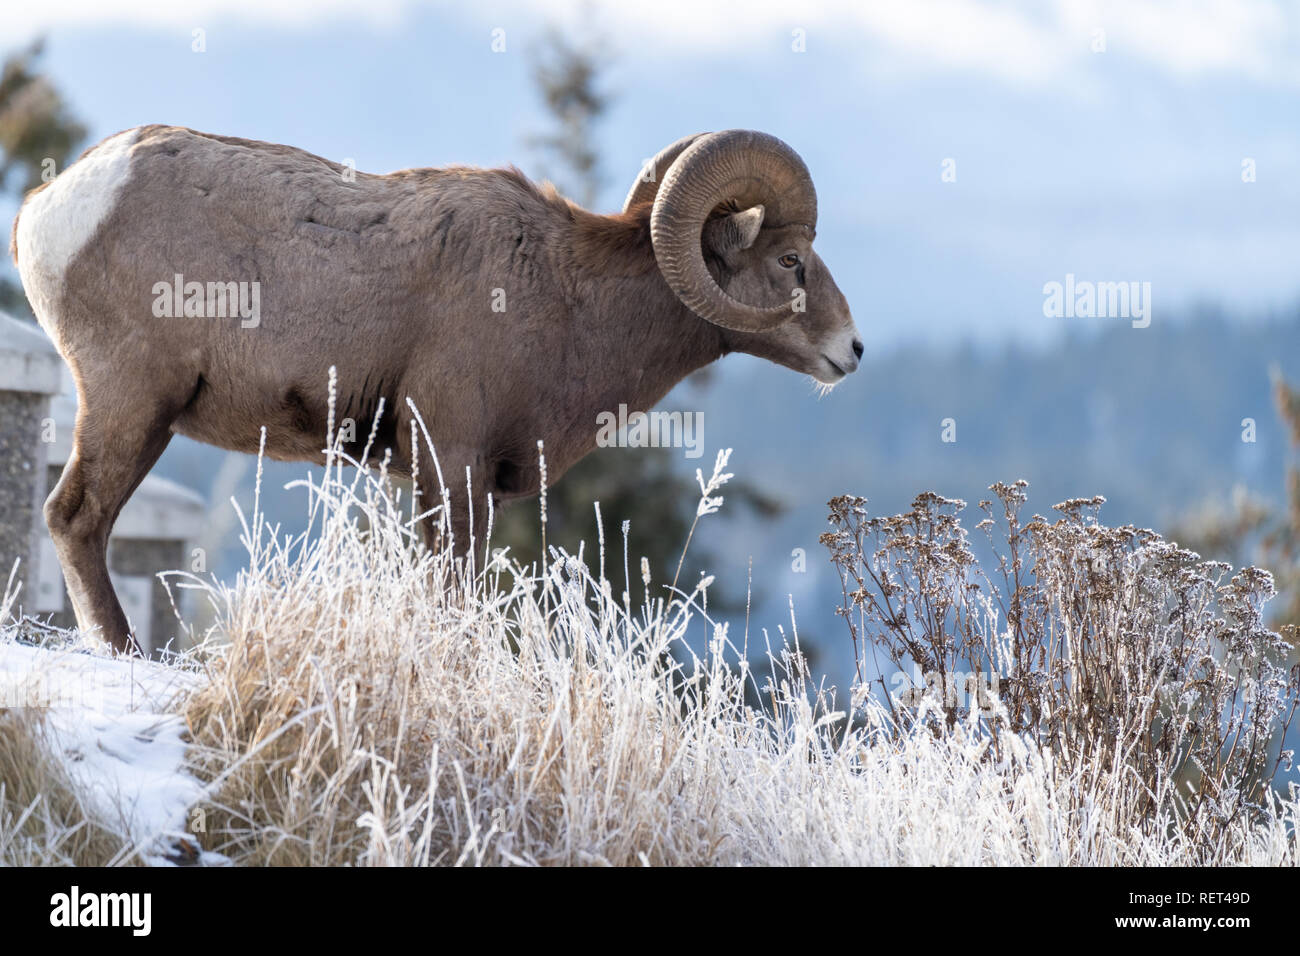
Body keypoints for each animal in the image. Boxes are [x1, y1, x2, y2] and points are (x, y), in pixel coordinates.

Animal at [11, 125, 861, 654]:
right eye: (789, 261)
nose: (850, 352)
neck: (568, 299)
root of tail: (47, 210)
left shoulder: (436, 483)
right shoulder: (454, 469)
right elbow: (458, 596)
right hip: (132, 406)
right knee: (75, 518)